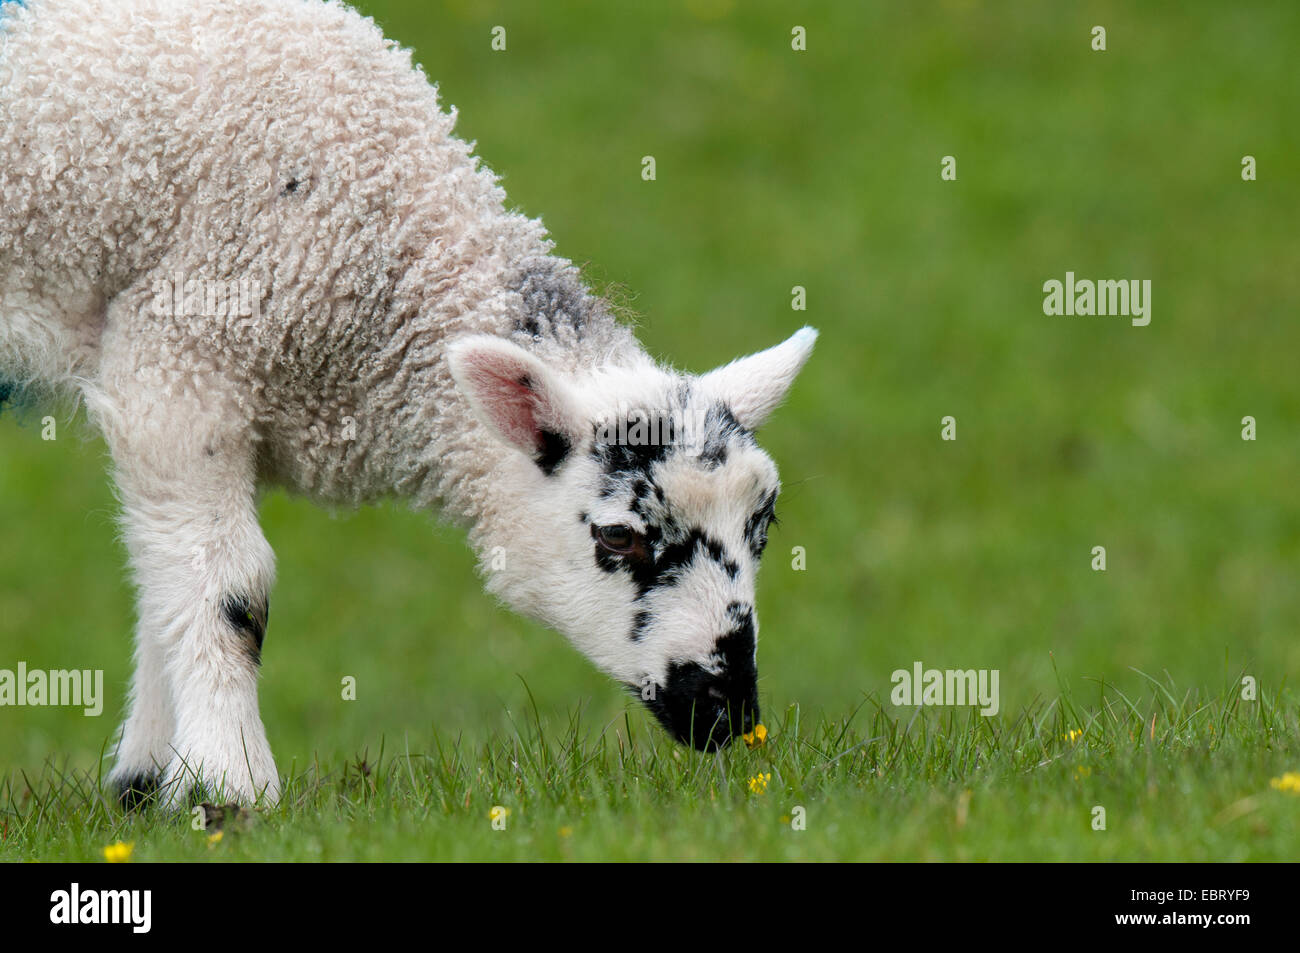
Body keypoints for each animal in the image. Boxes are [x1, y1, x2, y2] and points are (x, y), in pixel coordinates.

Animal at [0, 0, 817, 806]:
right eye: (618, 538)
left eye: (764, 525)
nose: (729, 715)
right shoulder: (177, 368)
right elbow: (230, 586)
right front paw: (228, 785)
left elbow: (163, 578)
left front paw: (147, 783)